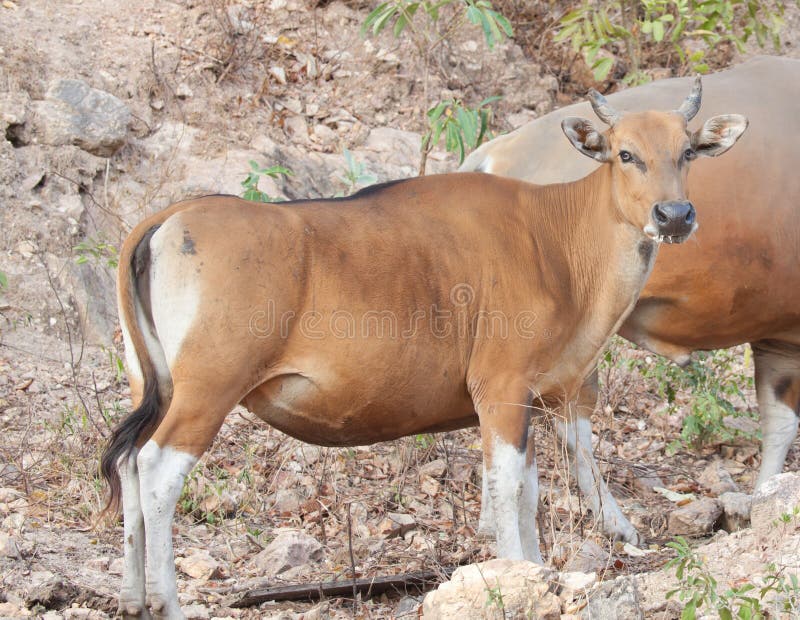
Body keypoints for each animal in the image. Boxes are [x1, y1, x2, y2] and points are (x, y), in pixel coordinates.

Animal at [100, 83, 746, 619]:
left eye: (687, 153)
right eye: (625, 154)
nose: (674, 215)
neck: (557, 239)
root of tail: (170, 216)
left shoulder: (530, 399)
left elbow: (531, 488)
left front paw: (537, 573)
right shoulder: (501, 388)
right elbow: (508, 489)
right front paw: (515, 573)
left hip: (151, 386)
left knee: (129, 463)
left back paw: (132, 598)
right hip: (208, 390)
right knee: (157, 471)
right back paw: (167, 603)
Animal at [461, 55, 800, 545]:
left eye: (688, 152)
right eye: (625, 154)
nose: (675, 216)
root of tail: (496, 154)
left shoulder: (779, 335)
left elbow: (778, 422)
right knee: (568, 425)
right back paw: (613, 521)